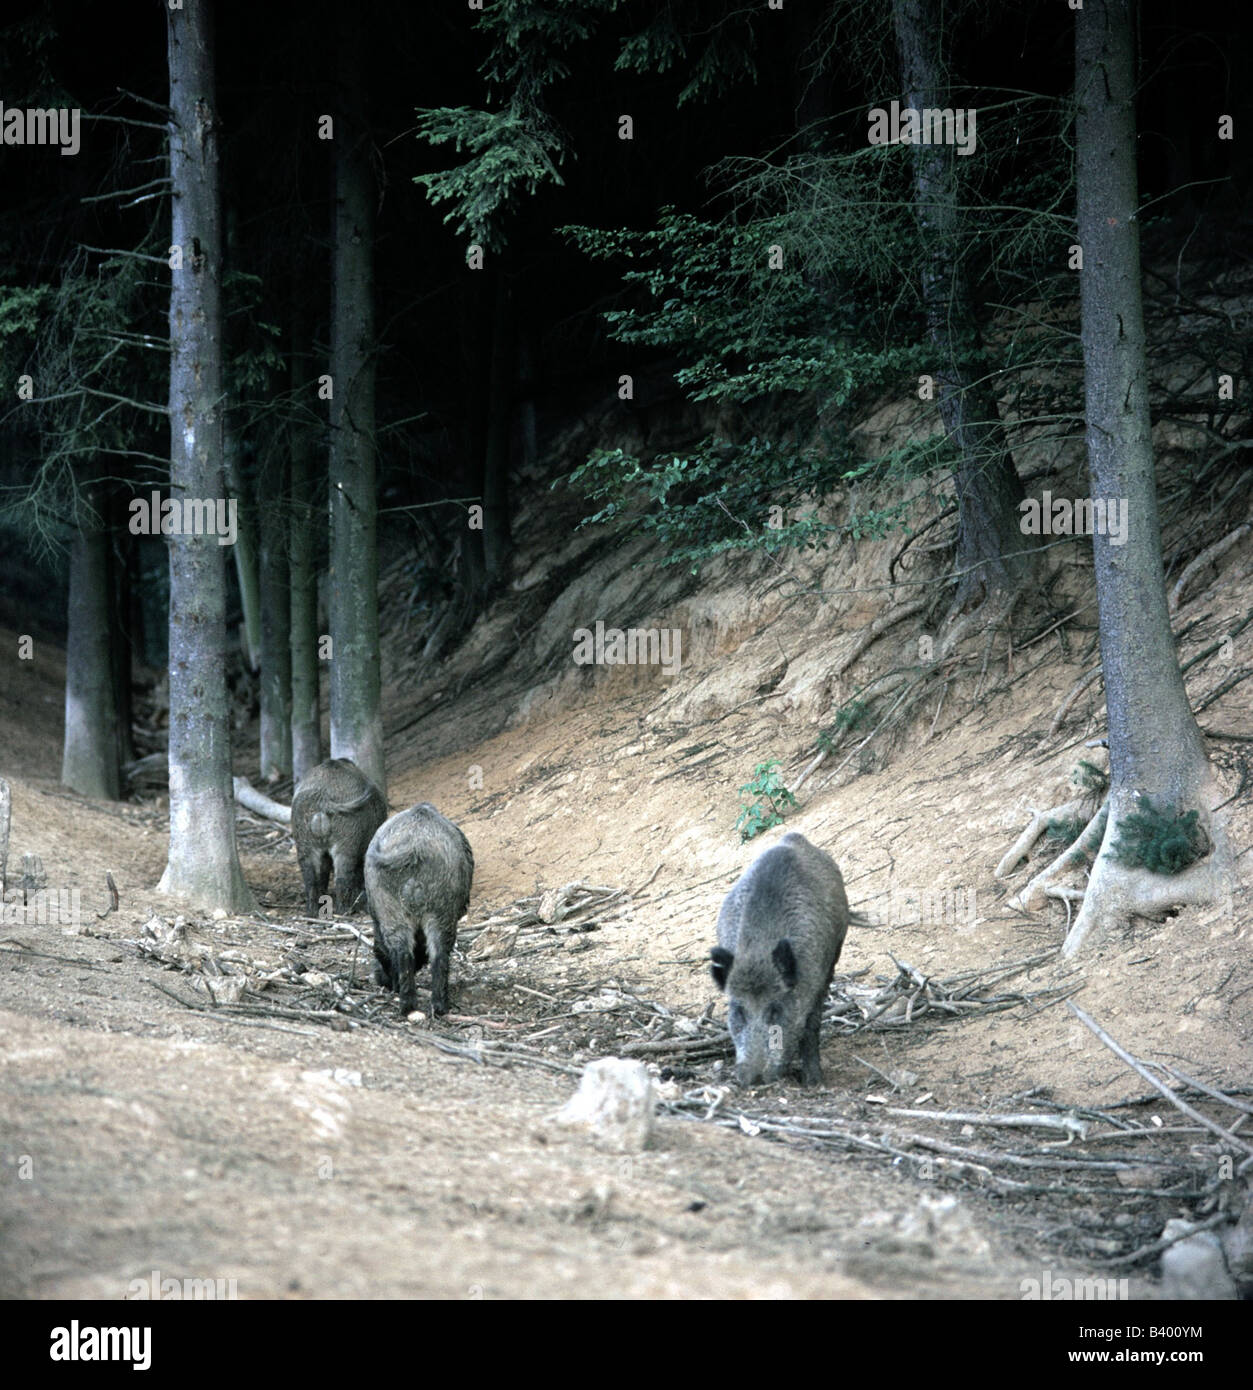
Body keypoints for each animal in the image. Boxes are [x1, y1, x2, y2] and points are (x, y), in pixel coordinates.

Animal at [291, 758, 387, 917]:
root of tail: (322, 800)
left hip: (305, 844)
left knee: (311, 877)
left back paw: (312, 911)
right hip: (346, 843)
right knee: (342, 878)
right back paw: (345, 910)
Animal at [365, 803, 474, 1017]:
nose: (379, 979)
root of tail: (414, 848)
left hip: (398, 911)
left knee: (408, 952)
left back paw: (413, 1006)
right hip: (439, 912)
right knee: (435, 954)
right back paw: (432, 1007)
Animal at [710, 832, 854, 1087]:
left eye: (775, 1009)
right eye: (739, 1011)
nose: (754, 1078)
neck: (757, 951)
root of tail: (795, 837)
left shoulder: (816, 979)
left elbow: (810, 1026)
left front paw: (813, 1082)